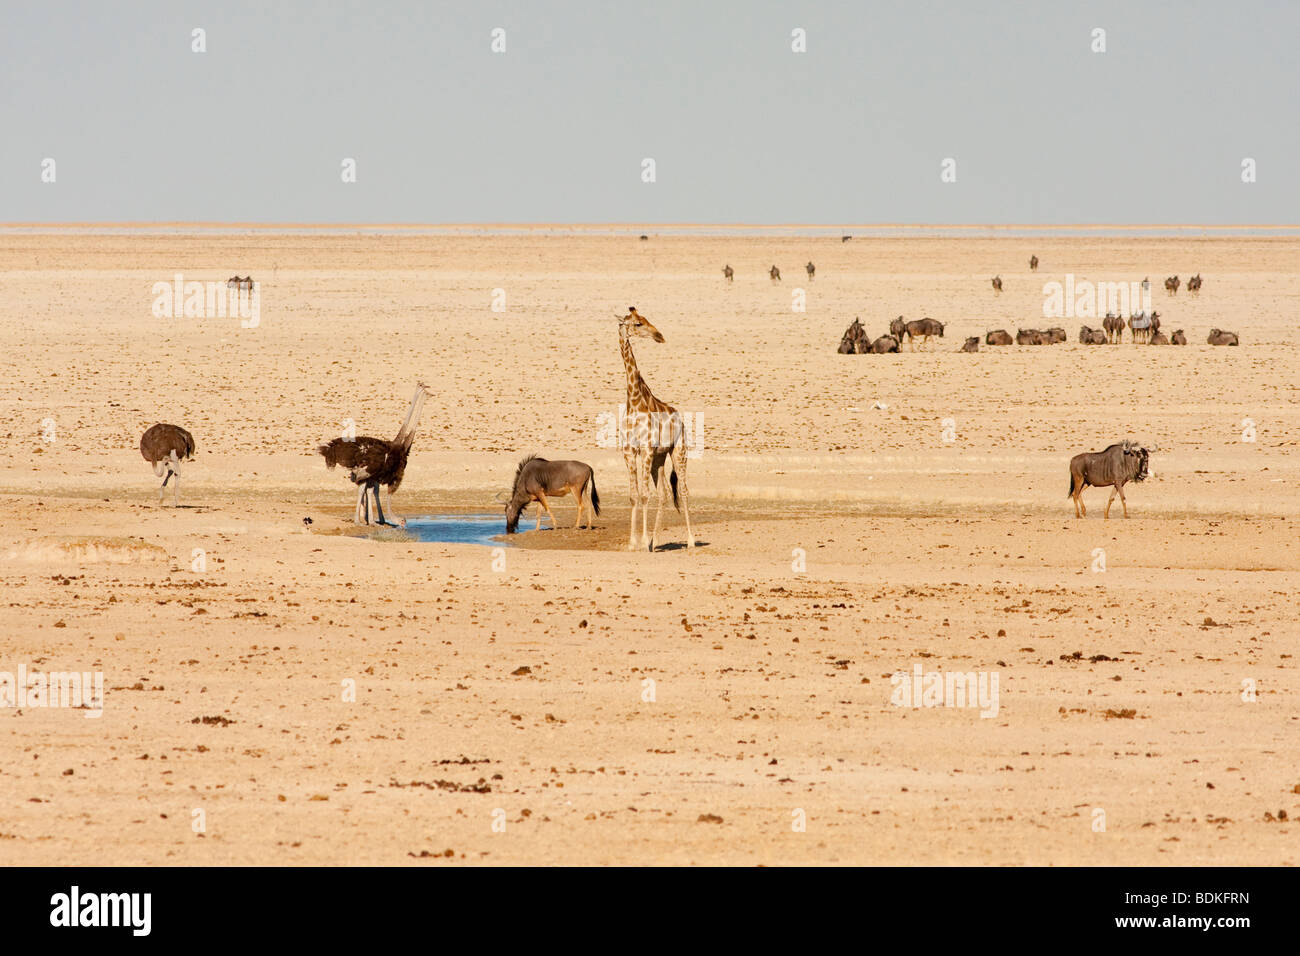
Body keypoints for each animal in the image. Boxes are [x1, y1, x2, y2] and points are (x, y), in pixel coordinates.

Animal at [615, 307, 695, 552]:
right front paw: (634, 543)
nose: (659, 336)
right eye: (638, 323)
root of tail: (681, 419)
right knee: (665, 494)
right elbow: (634, 495)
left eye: (646, 319)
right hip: (659, 459)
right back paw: (656, 541)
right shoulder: (629, 451)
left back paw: (691, 540)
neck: (634, 401)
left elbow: (644, 496)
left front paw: (641, 543)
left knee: (684, 491)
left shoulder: (646, 449)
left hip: (678, 451)